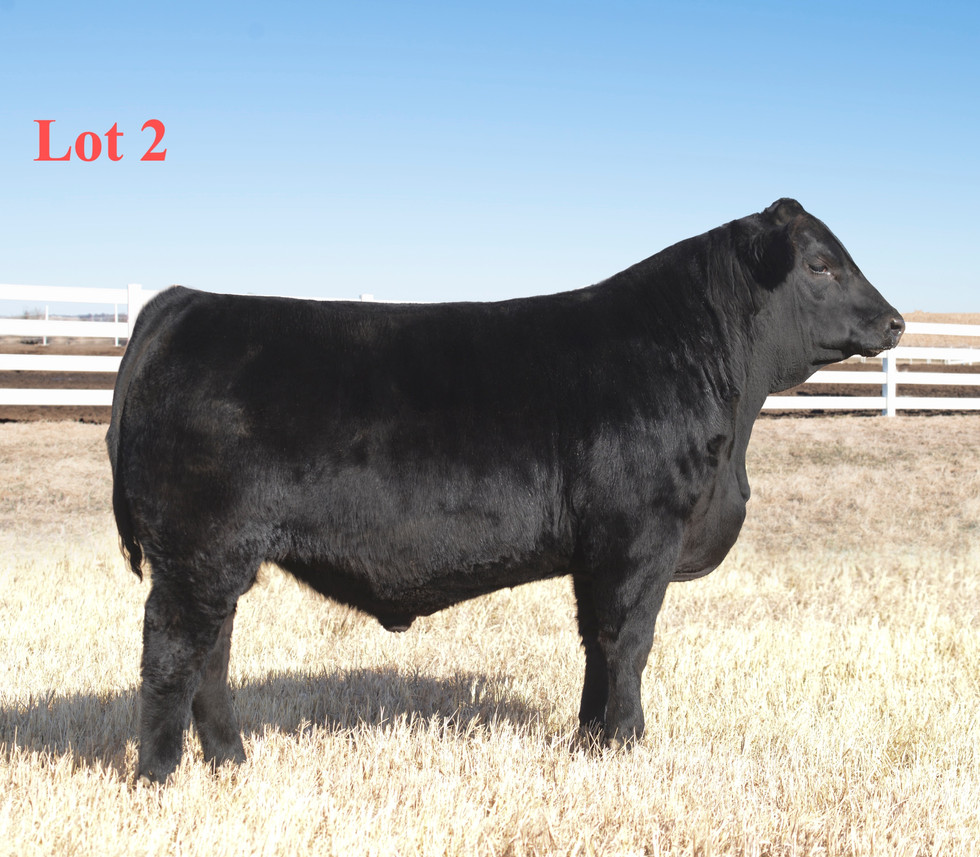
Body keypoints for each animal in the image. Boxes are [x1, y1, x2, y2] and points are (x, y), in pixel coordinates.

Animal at [107, 198, 904, 782]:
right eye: (821, 264)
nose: (895, 321)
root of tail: (183, 302)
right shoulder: (639, 533)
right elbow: (629, 639)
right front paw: (628, 743)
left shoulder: (598, 551)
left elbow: (595, 641)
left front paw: (590, 740)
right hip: (197, 549)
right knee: (171, 651)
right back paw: (158, 777)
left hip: (218, 558)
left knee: (212, 653)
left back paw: (231, 761)